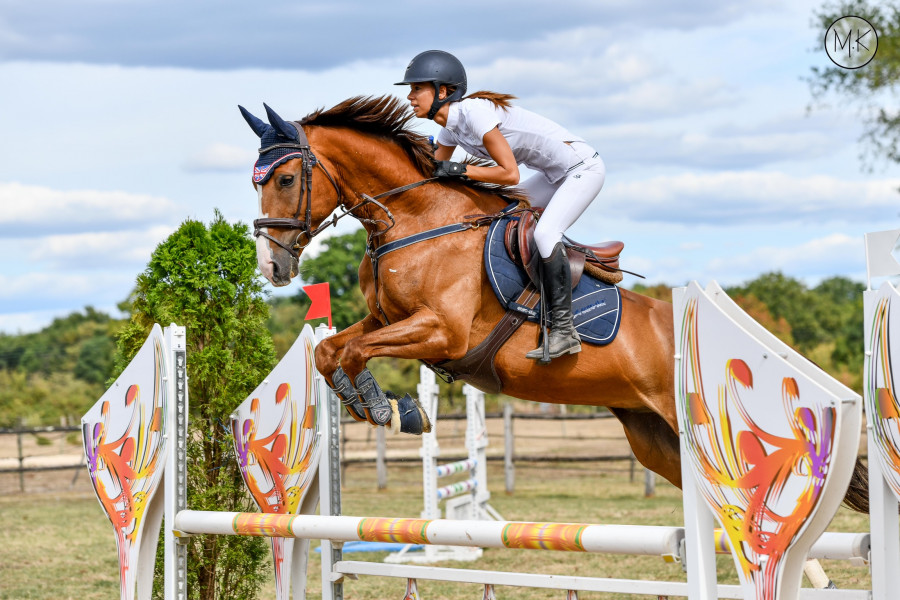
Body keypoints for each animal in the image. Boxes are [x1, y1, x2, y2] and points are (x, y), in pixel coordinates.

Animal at [241, 95, 869, 510]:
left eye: (287, 180)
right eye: (258, 182)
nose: (272, 267)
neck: (417, 220)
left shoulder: (441, 332)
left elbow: (353, 352)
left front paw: (390, 409)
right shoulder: (386, 319)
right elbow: (333, 352)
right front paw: (375, 405)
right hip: (655, 439)